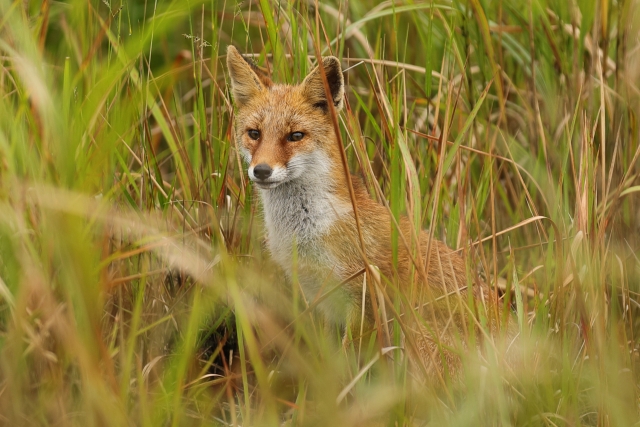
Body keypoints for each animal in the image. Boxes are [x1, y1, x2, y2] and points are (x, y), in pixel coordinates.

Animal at [226, 45, 499, 377]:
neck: (308, 230)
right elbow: (327, 358)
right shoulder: (322, 300)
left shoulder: (363, 299)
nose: (262, 171)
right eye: (254, 133)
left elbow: (349, 365)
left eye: (295, 136)